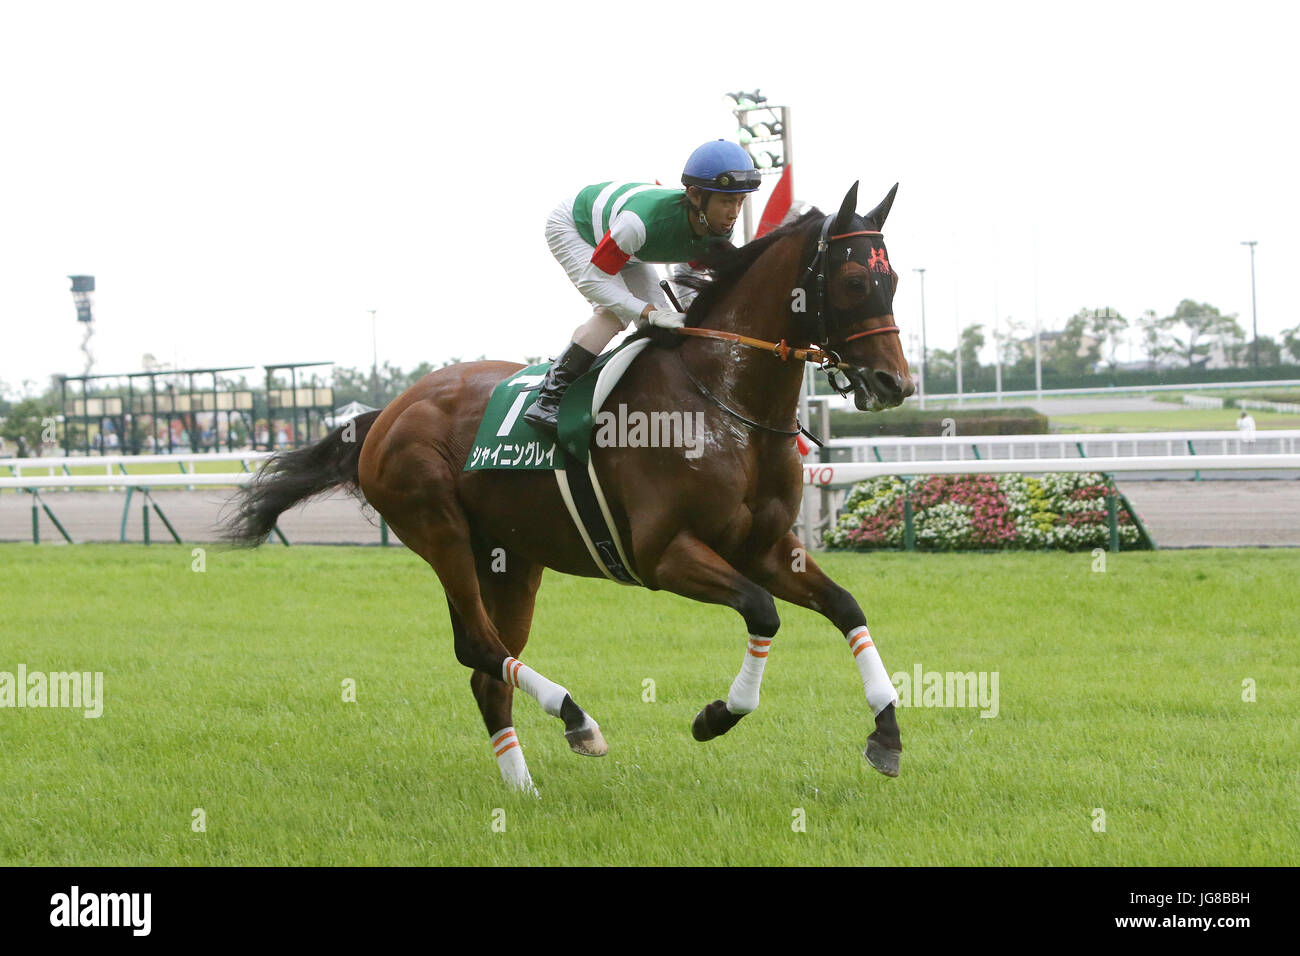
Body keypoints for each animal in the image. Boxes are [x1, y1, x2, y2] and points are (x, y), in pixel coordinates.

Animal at [221, 181, 914, 795]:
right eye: (855, 282)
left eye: (894, 281)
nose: (895, 384)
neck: (723, 400)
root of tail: (387, 413)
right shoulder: (663, 555)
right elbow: (762, 611)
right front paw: (717, 716)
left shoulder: (767, 547)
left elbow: (847, 607)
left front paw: (886, 733)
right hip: (439, 530)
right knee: (479, 645)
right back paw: (578, 720)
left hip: (511, 557)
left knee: (487, 670)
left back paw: (522, 786)